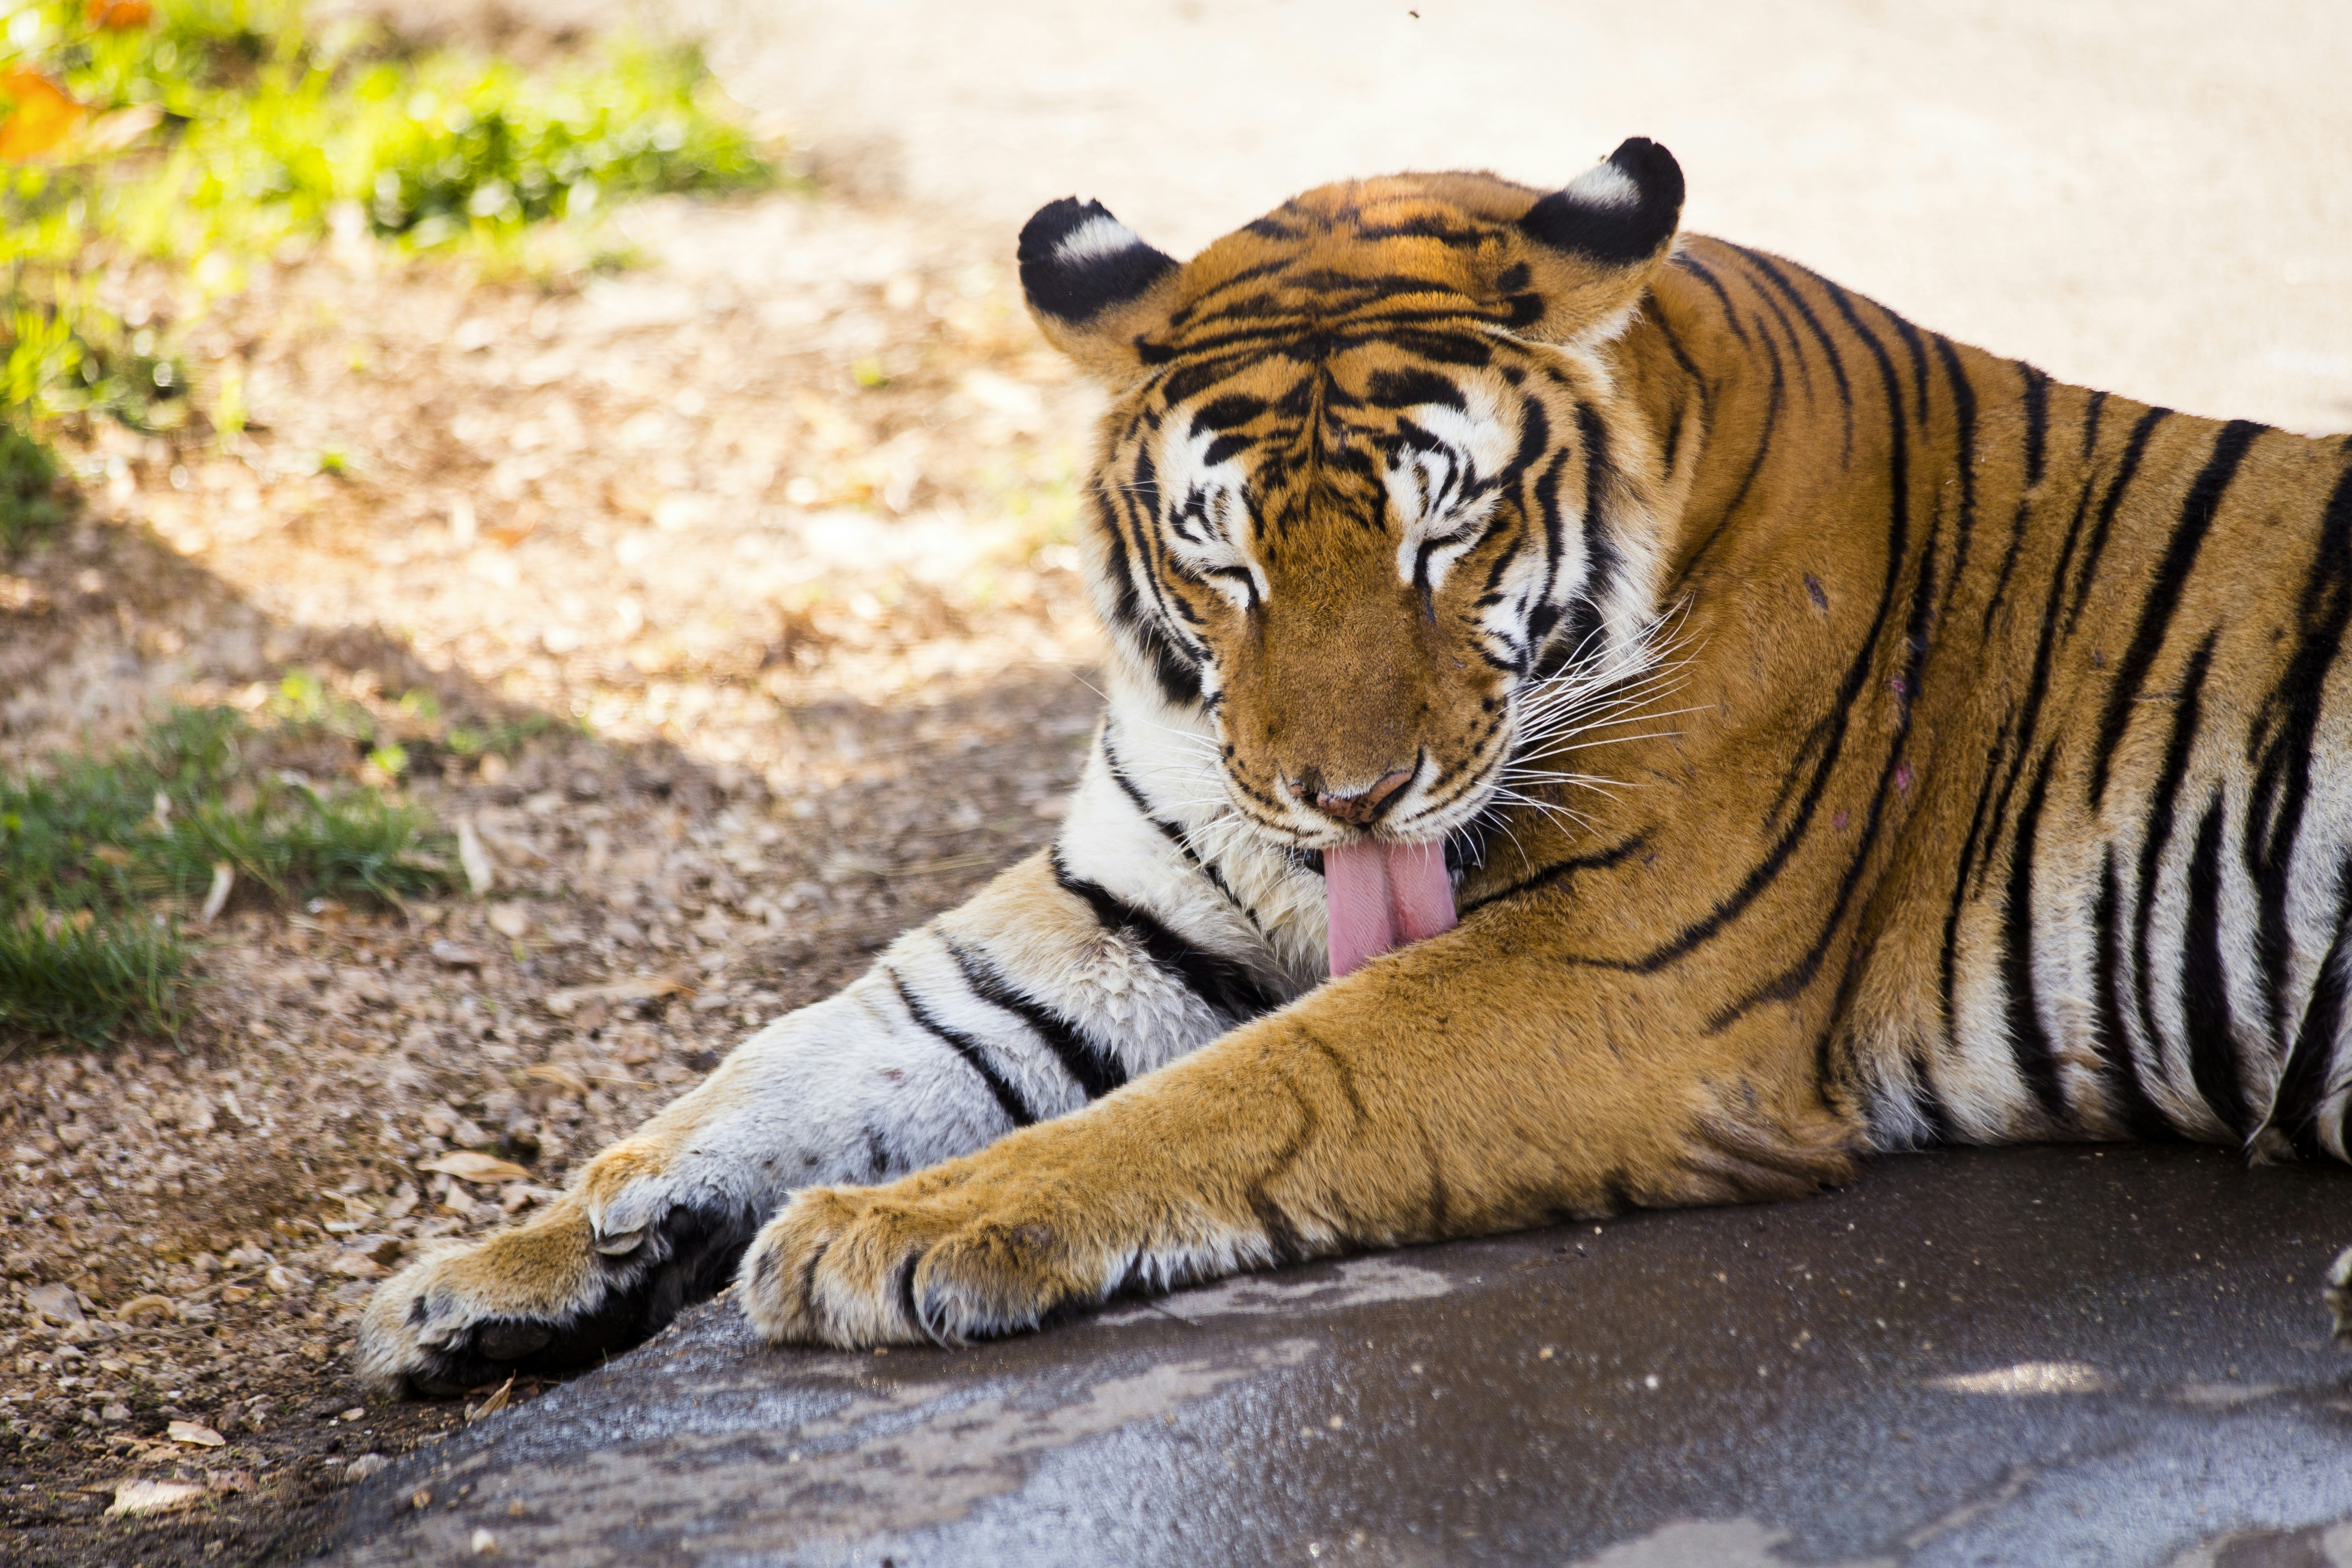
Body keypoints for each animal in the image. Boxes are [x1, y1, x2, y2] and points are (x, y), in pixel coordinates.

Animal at [359, 136, 2352, 1393]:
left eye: (1440, 538)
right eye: (1226, 559)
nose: (1345, 800)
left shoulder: (1614, 983)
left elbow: (1257, 1088)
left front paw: (888, 1231)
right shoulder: (1123, 908)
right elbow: (807, 1055)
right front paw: (497, 1270)